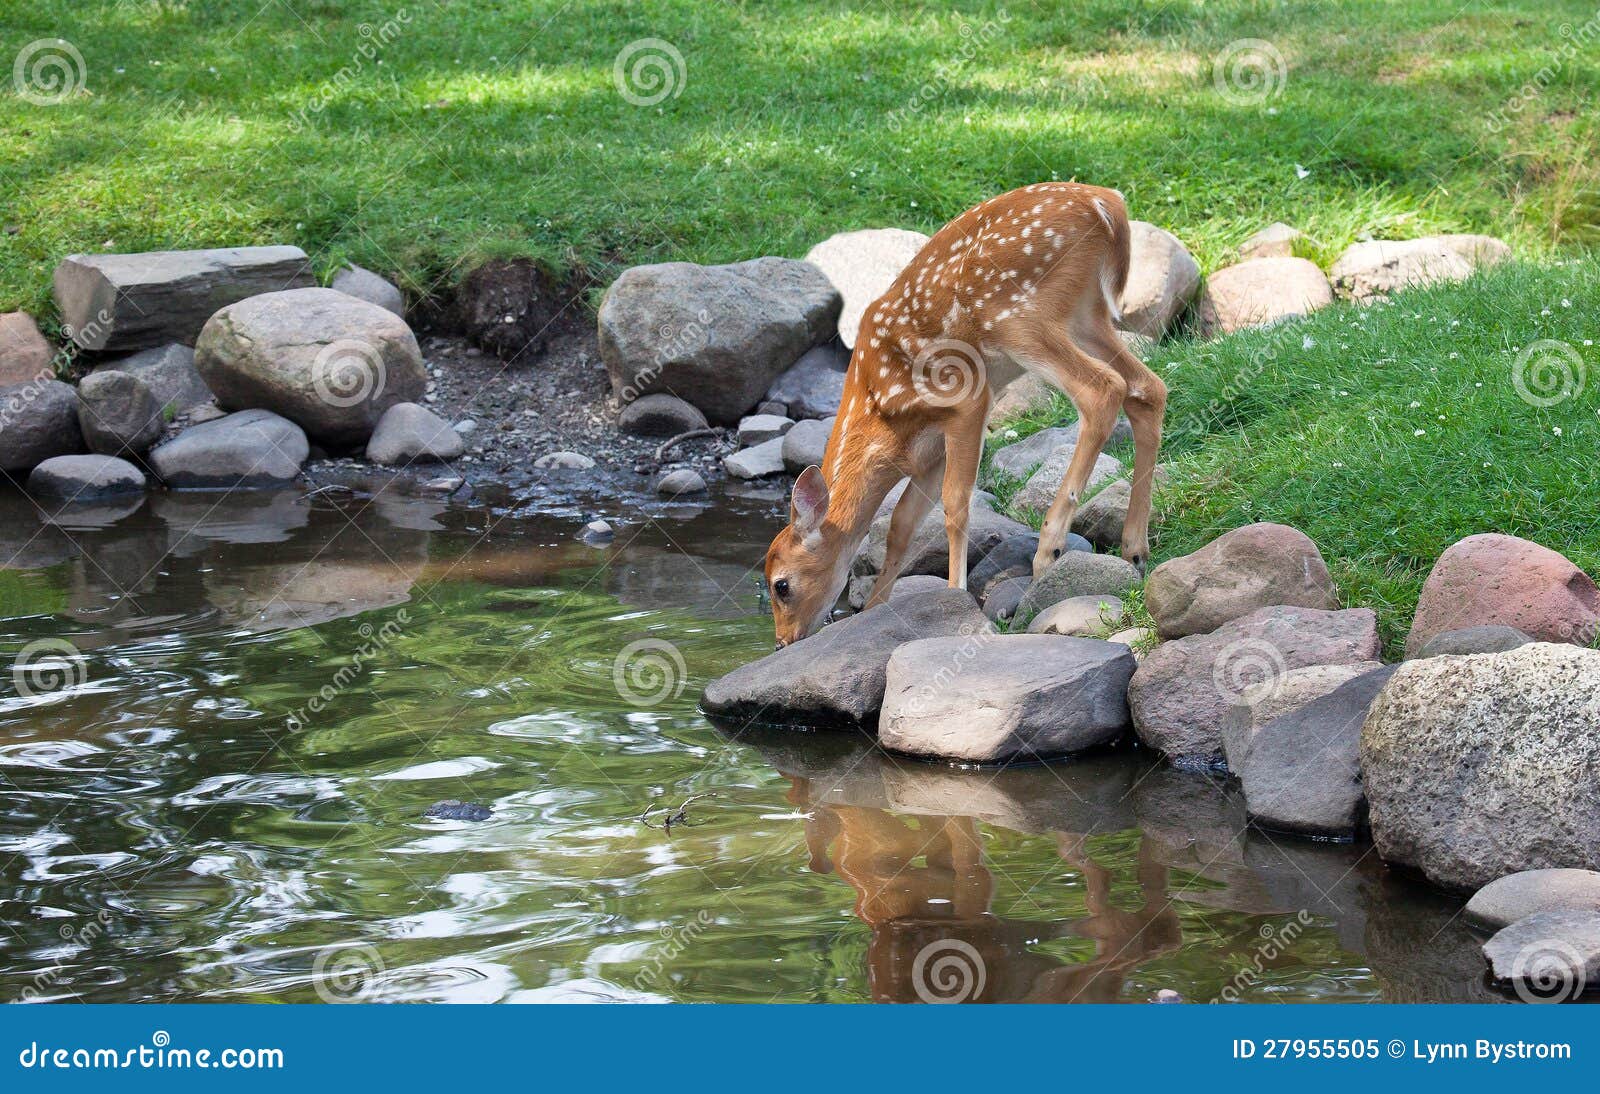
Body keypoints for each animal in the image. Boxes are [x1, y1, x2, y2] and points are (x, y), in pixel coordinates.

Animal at [765, 182, 1167, 648]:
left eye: (781, 585)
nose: (783, 641)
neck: (881, 417)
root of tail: (1107, 204)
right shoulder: (927, 452)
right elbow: (901, 525)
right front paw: (877, 608)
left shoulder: (966, 397)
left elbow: (955, 504)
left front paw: (954, 592)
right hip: (1086, 314)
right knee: (1147, 387)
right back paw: (1134, 549)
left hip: (1019, 316)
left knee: (1103, 390)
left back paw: (1049, 550)